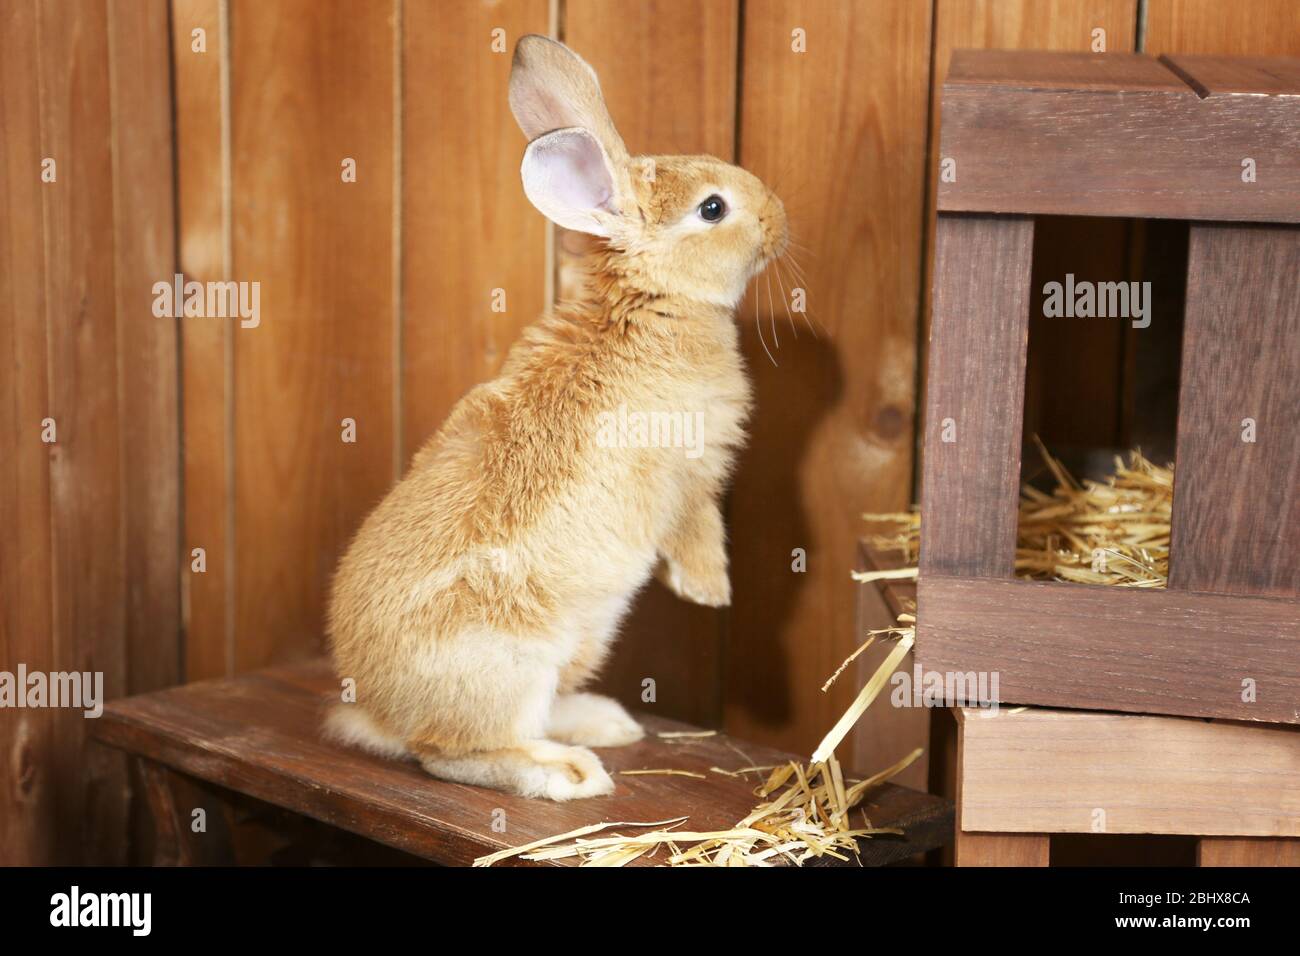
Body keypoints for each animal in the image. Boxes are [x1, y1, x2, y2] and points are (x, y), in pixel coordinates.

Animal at [325, 34, 787, 800]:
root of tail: (382, 713)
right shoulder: (686, 477)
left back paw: (603, 723)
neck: (650, 303)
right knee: (449, 752)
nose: (779, 216)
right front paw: (711, 592)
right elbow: (700, 531)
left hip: (581, 642)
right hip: (513, 662)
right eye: (713, 208)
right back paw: (569, 774)